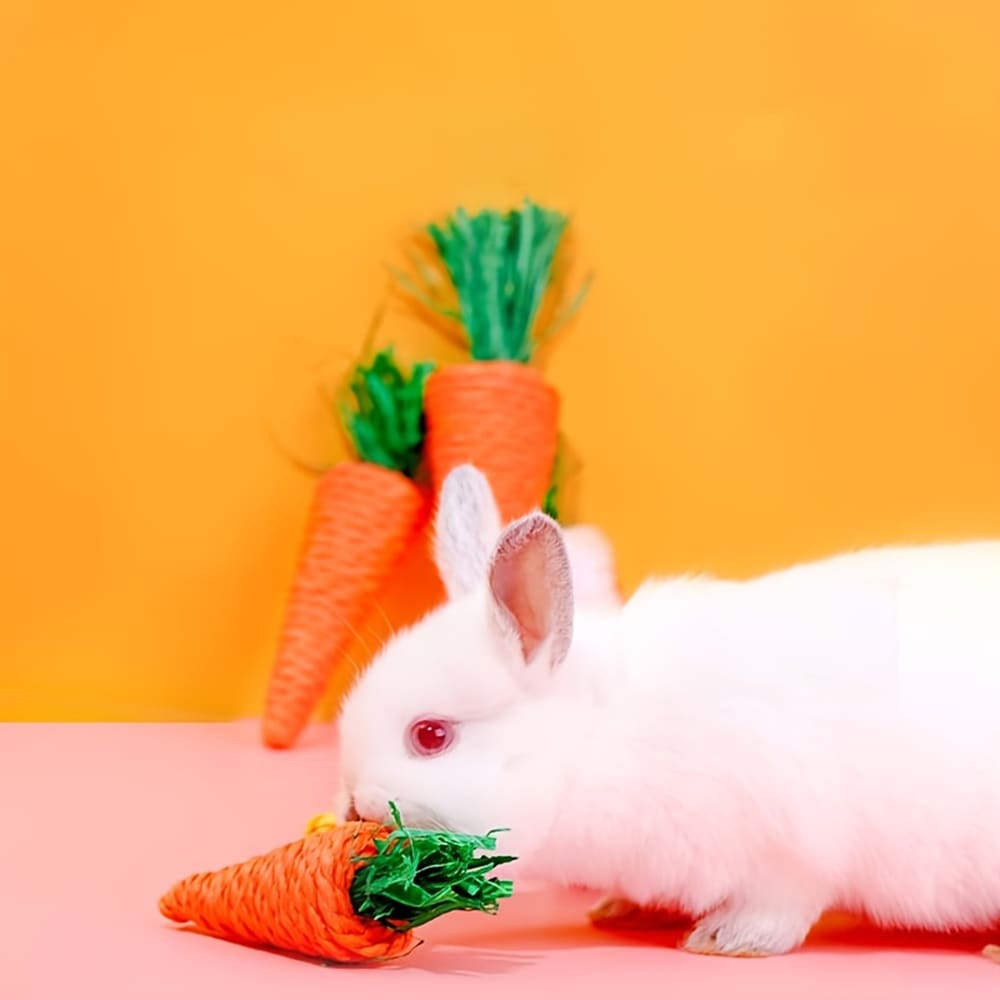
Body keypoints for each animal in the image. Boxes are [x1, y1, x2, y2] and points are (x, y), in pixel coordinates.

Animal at [335, 464, 1000, 958]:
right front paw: (622, 911)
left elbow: (782, 900)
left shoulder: (793, 843)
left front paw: (728, 939)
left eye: (430, 735)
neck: (597, 741)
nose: (354, 806)